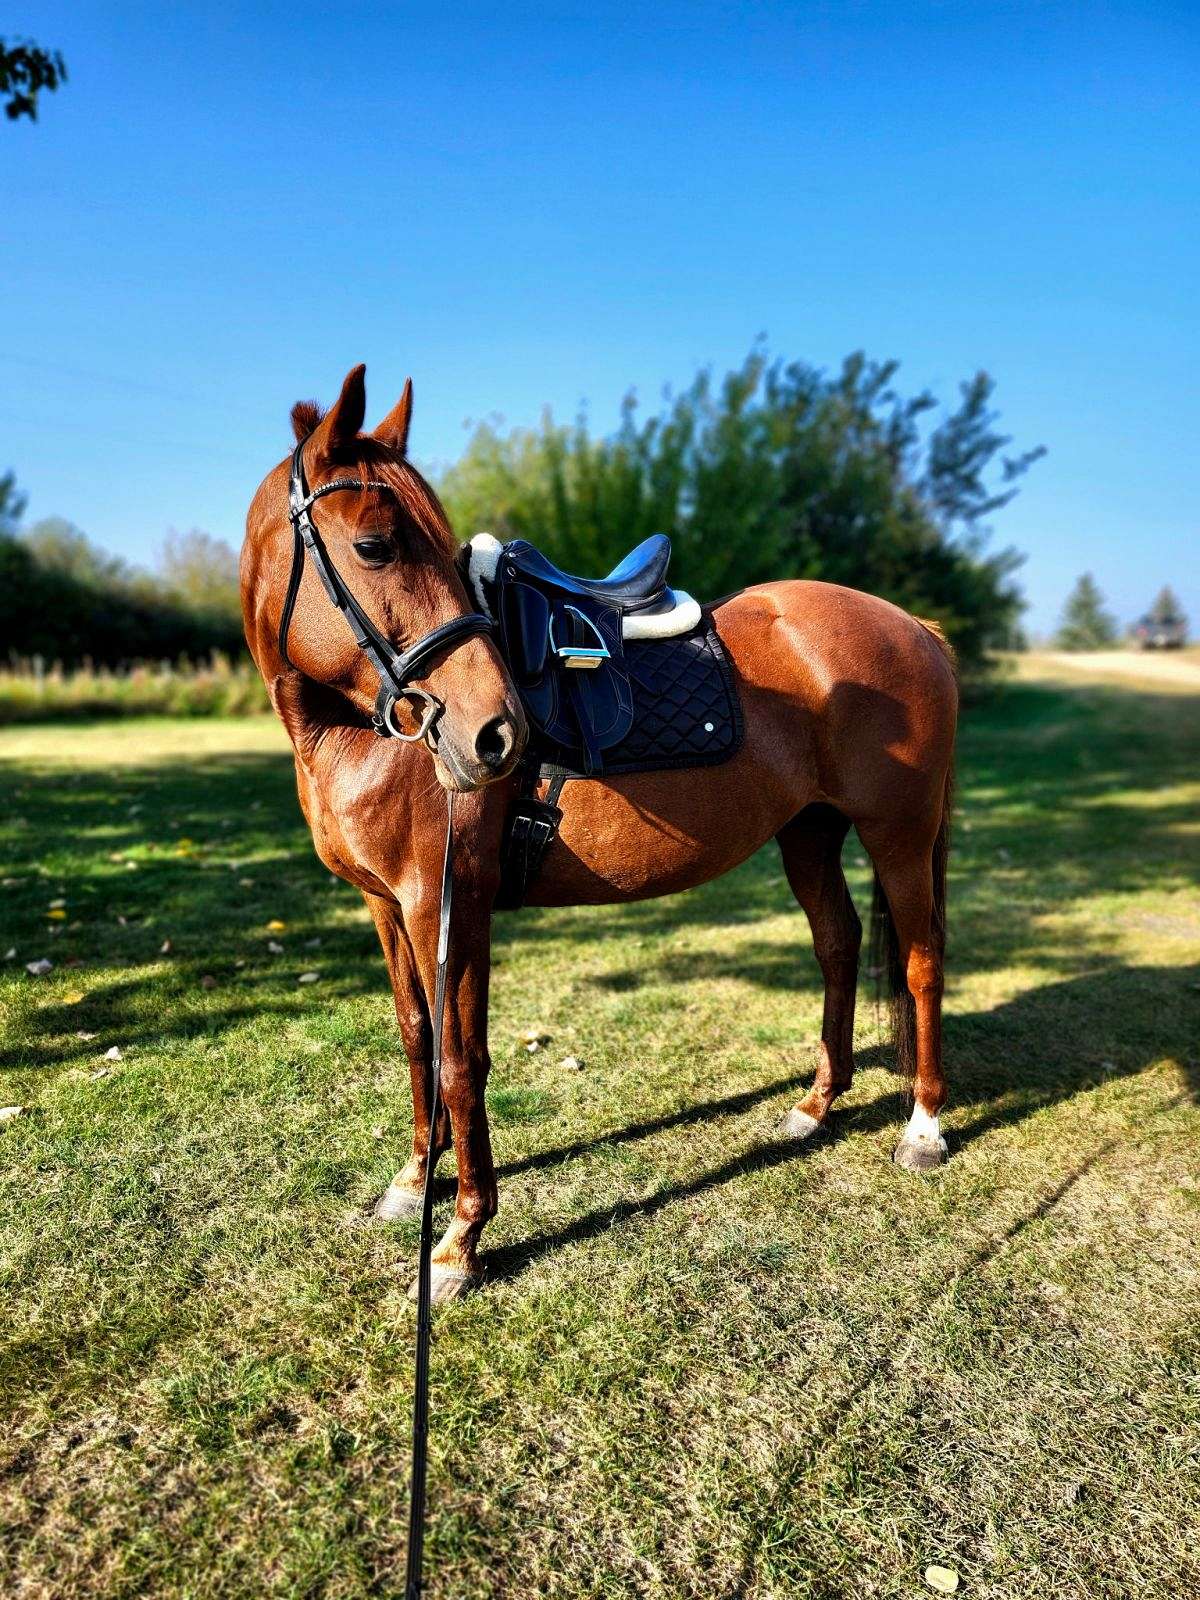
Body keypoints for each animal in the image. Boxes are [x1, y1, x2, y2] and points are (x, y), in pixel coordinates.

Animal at [242, 364, 958, 1303]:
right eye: (374, 546)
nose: (495, 734)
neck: (358, 733)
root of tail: (918, 628)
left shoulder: (447, 905)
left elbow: (462, 1061)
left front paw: (460, 1241)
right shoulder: (387, 910)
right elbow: (417, 1040)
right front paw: (413, 1182)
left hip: (899, 834)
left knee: (920, 962)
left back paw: (924, 1126)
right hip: (808, 833)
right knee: (838, 944)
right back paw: (814, 1106)